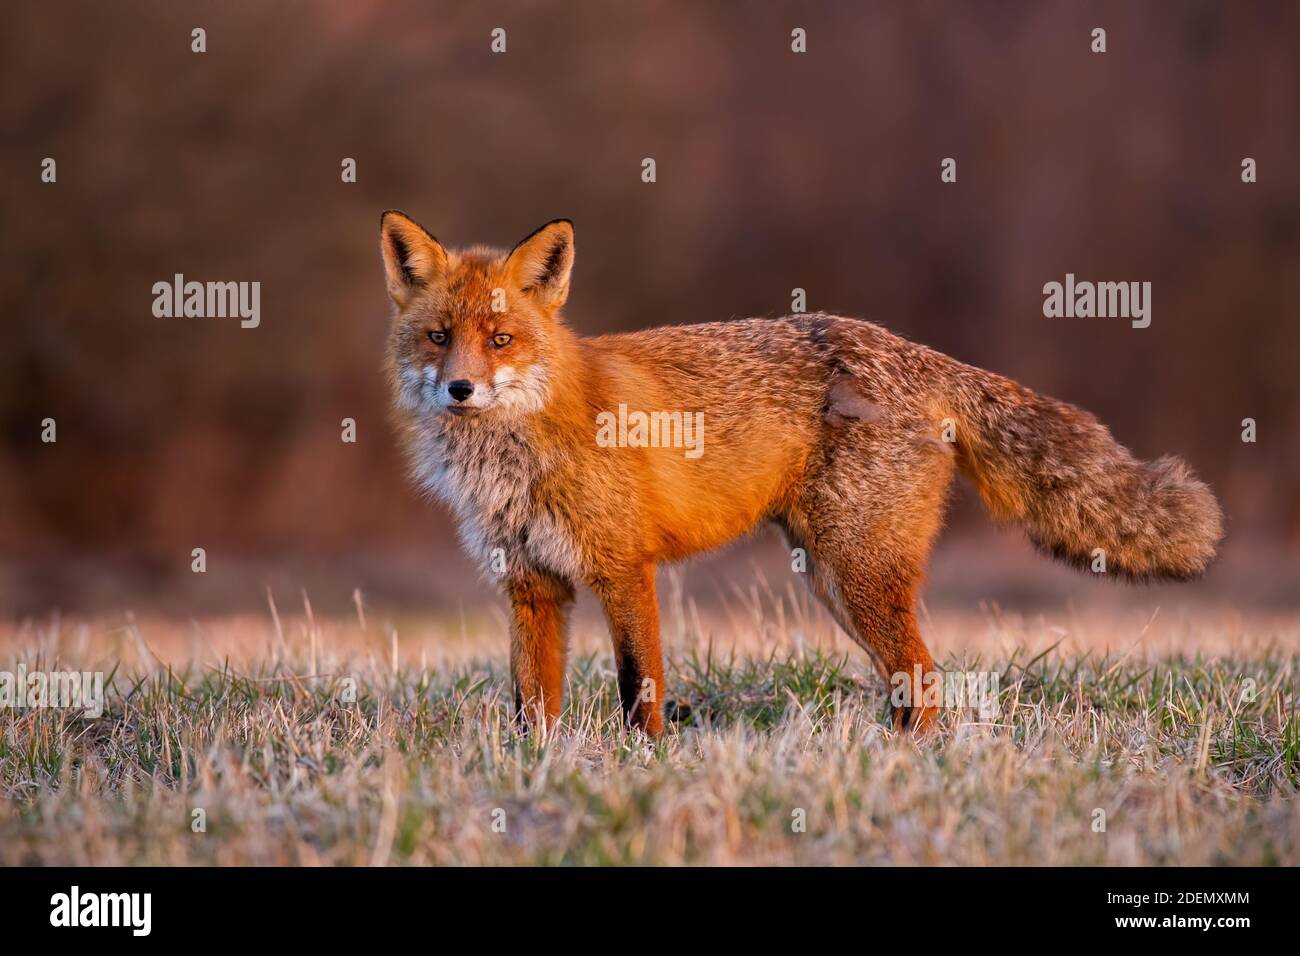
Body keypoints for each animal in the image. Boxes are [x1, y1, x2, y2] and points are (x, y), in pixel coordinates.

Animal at [378, 211, 1224, 735]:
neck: (518, 455)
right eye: (439, 337)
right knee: (915, 683)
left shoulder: (625, 569)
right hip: (833, 580)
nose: (460, 390)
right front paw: (538, 770)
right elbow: (532, 707)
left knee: (926, 681)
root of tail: (909, 348)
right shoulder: (531, 586)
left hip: (856, 572)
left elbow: (637, 689)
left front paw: (644, 764)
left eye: (500, 338)